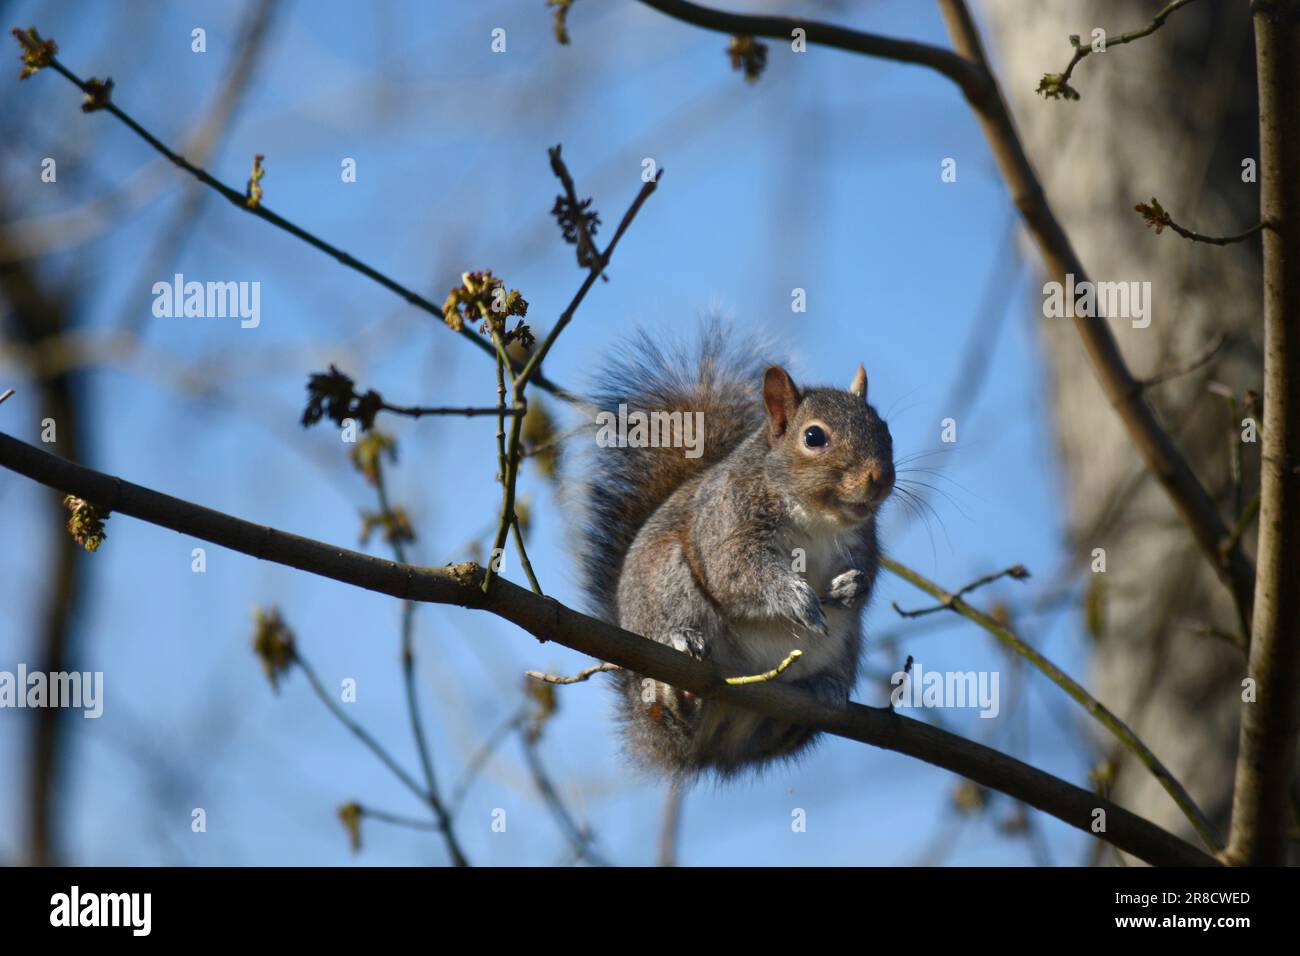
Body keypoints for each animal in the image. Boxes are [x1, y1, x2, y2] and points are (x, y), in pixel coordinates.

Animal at [574, 323, 895, 778]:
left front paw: (851, 588)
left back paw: (822, 688)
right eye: (814, 436)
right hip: (666, 583)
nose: (879, 478)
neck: (817, 517)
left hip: (843, 648)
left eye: (885, 429)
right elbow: (736, 574)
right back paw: (678, 676)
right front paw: (796, 597)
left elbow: (865, 579)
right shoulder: (728, 520)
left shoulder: (862, 541)